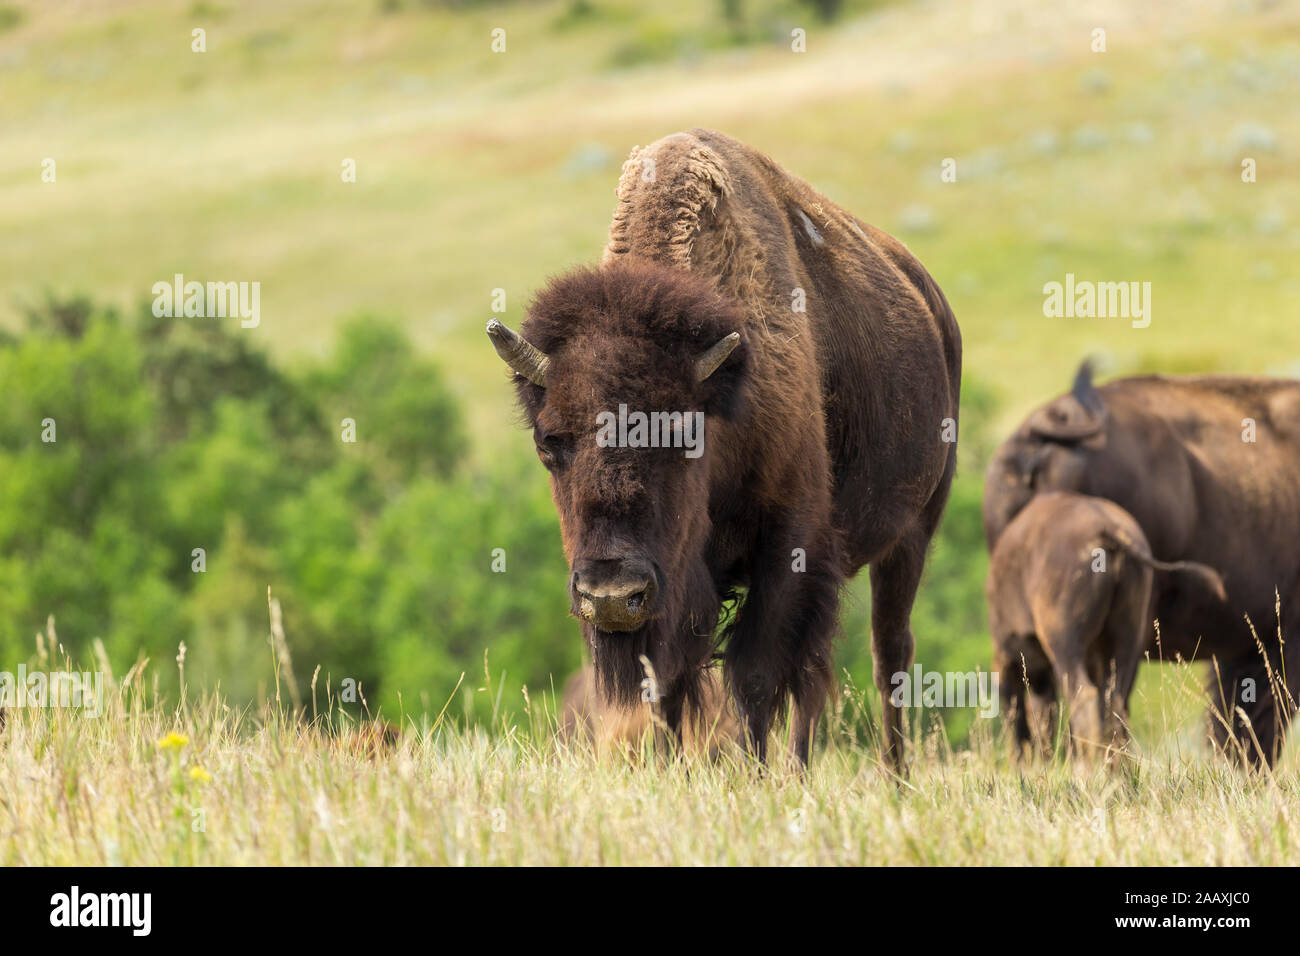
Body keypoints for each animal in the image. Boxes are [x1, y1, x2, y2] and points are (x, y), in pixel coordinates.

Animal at [488, 128, 960, 771]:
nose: (610, 595)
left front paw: (755, 777)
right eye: (547, 443)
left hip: (913, 531)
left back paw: (890, 777)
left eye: (683, 434)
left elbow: (756, 676)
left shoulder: (787, 546)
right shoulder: (679, 584)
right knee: (816, 678)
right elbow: (665, 683)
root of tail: (935, 307)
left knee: (888, 654)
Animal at [988, 491, 1225, 759]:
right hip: (1125, 639)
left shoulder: (1007, 660)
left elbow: (1018, 725)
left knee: (1085, 703)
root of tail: (1110, 532)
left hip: (1064, 646)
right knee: (1113, 707)